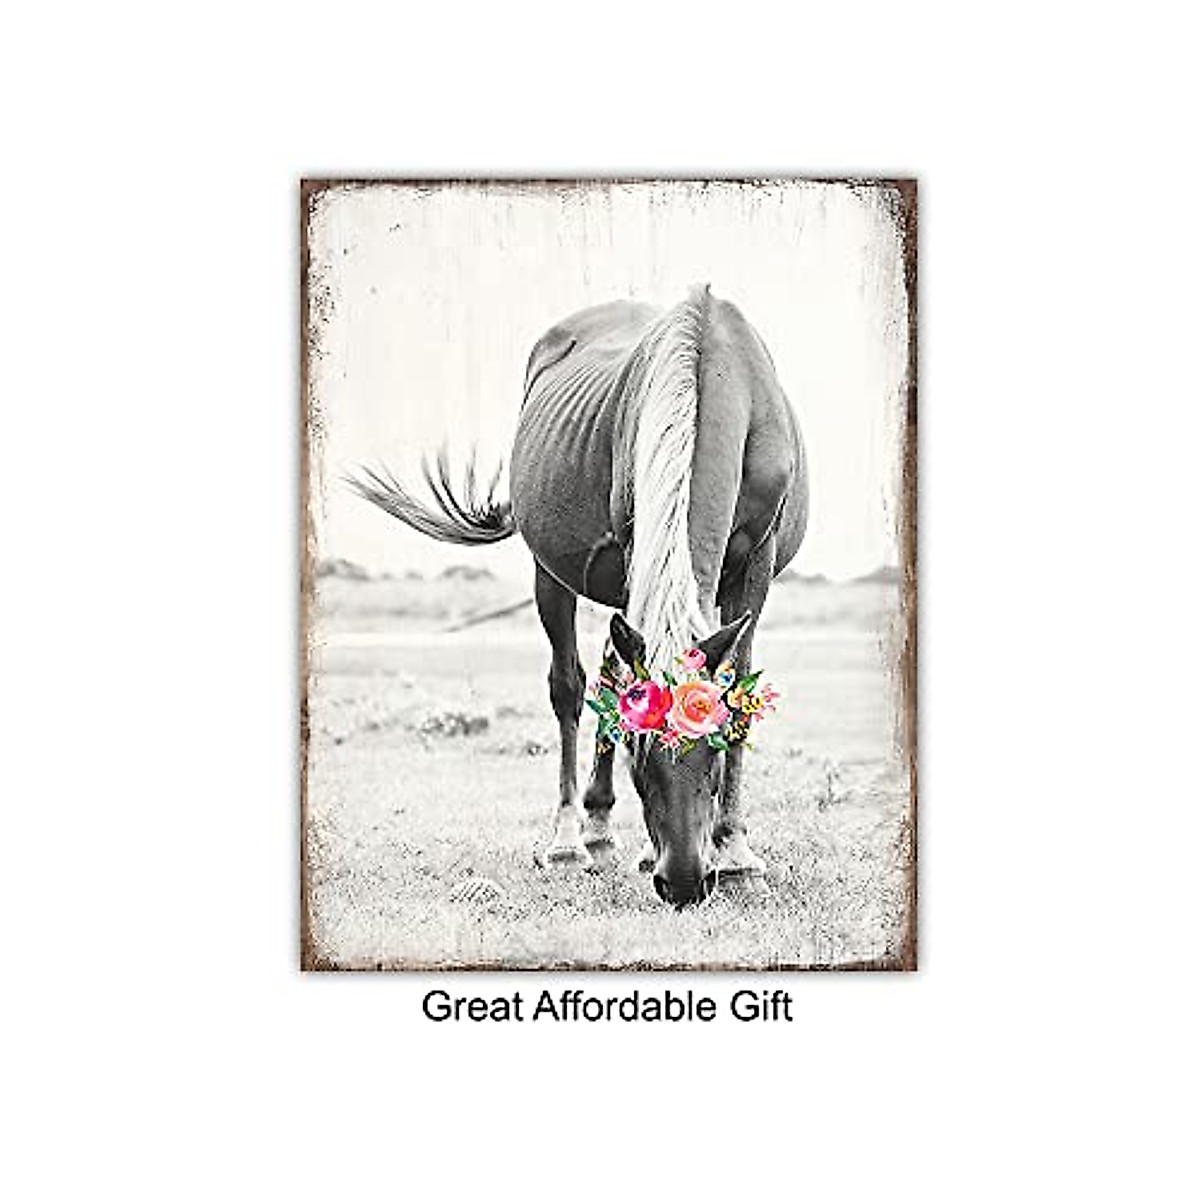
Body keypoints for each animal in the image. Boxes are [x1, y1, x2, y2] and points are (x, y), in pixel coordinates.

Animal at [351, 284, 807, 906]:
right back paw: (575, 838)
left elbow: (736, 693)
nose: (683, 882)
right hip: (554, 574)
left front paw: (736, 854)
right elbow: (603, 693)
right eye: (640, 751)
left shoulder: (755, 568)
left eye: (714, 747)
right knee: (572, 686)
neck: (712, 370)